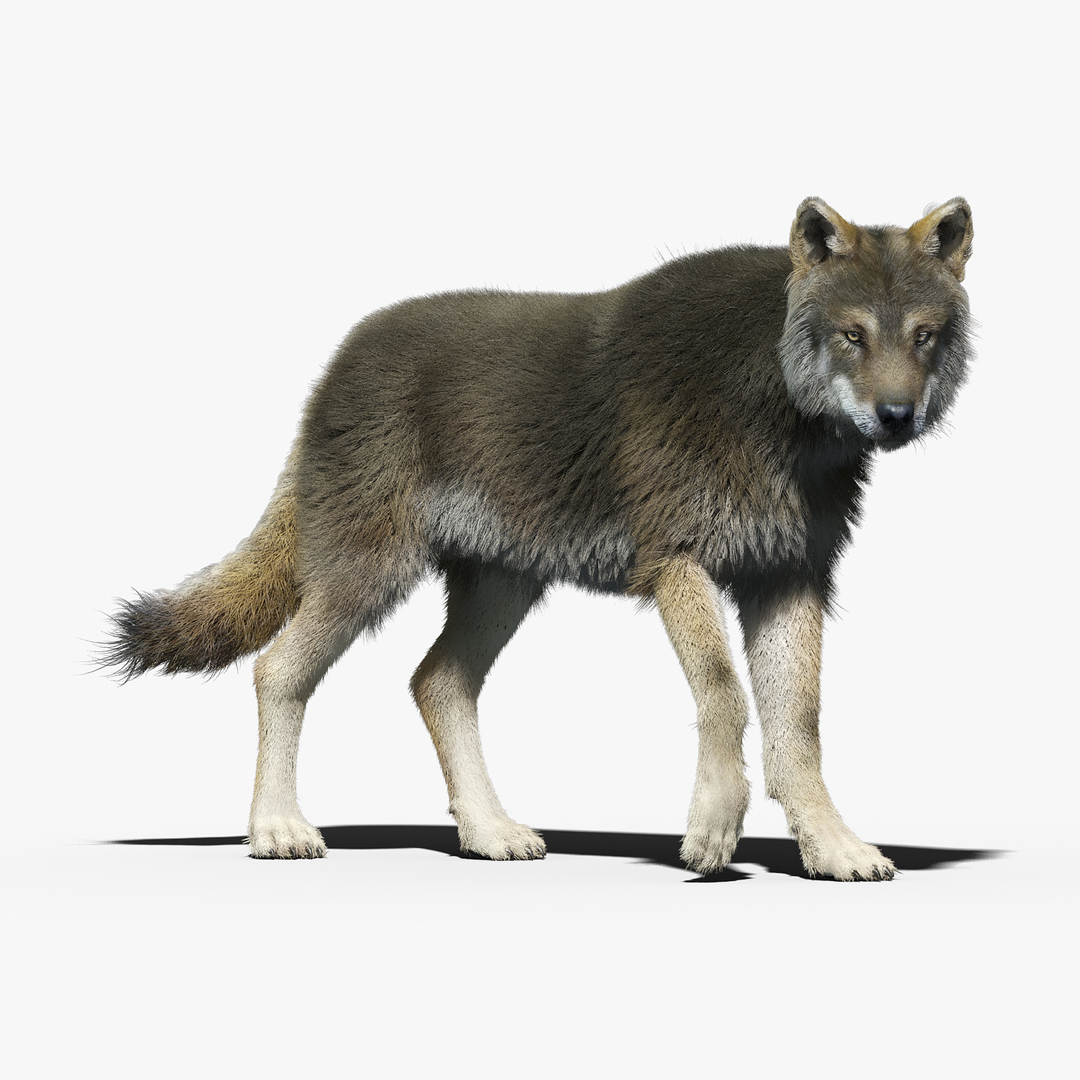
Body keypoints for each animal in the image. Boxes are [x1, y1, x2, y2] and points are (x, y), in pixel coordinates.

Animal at [101, 197, 974, 881]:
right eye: (853, 335)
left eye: (923, 336)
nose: (897, 417)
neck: (774, 405)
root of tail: (334, 369)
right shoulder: (677, 563)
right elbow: (725, 695)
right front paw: (713, 828)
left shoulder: (788, 579)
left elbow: (801, 727)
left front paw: (833, 849)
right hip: (368, 578)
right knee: (278, 670)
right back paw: (278, 830)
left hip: (504, 586)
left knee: (436, 681)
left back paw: (488, 833)